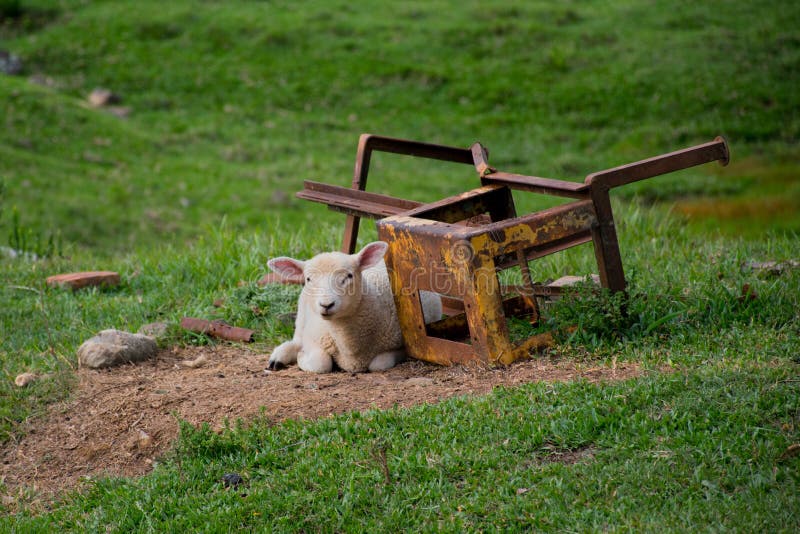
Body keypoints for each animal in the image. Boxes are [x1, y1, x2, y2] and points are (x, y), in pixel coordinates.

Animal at [266, 241, 442, 373]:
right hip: (302, 314)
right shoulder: (313, 336)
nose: (326, 304)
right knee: (297, 339)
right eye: (308, 279)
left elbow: (379, 364)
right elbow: (321, 363)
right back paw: (278, 357)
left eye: (349, 276)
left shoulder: (404, 345)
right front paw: (301, 357)